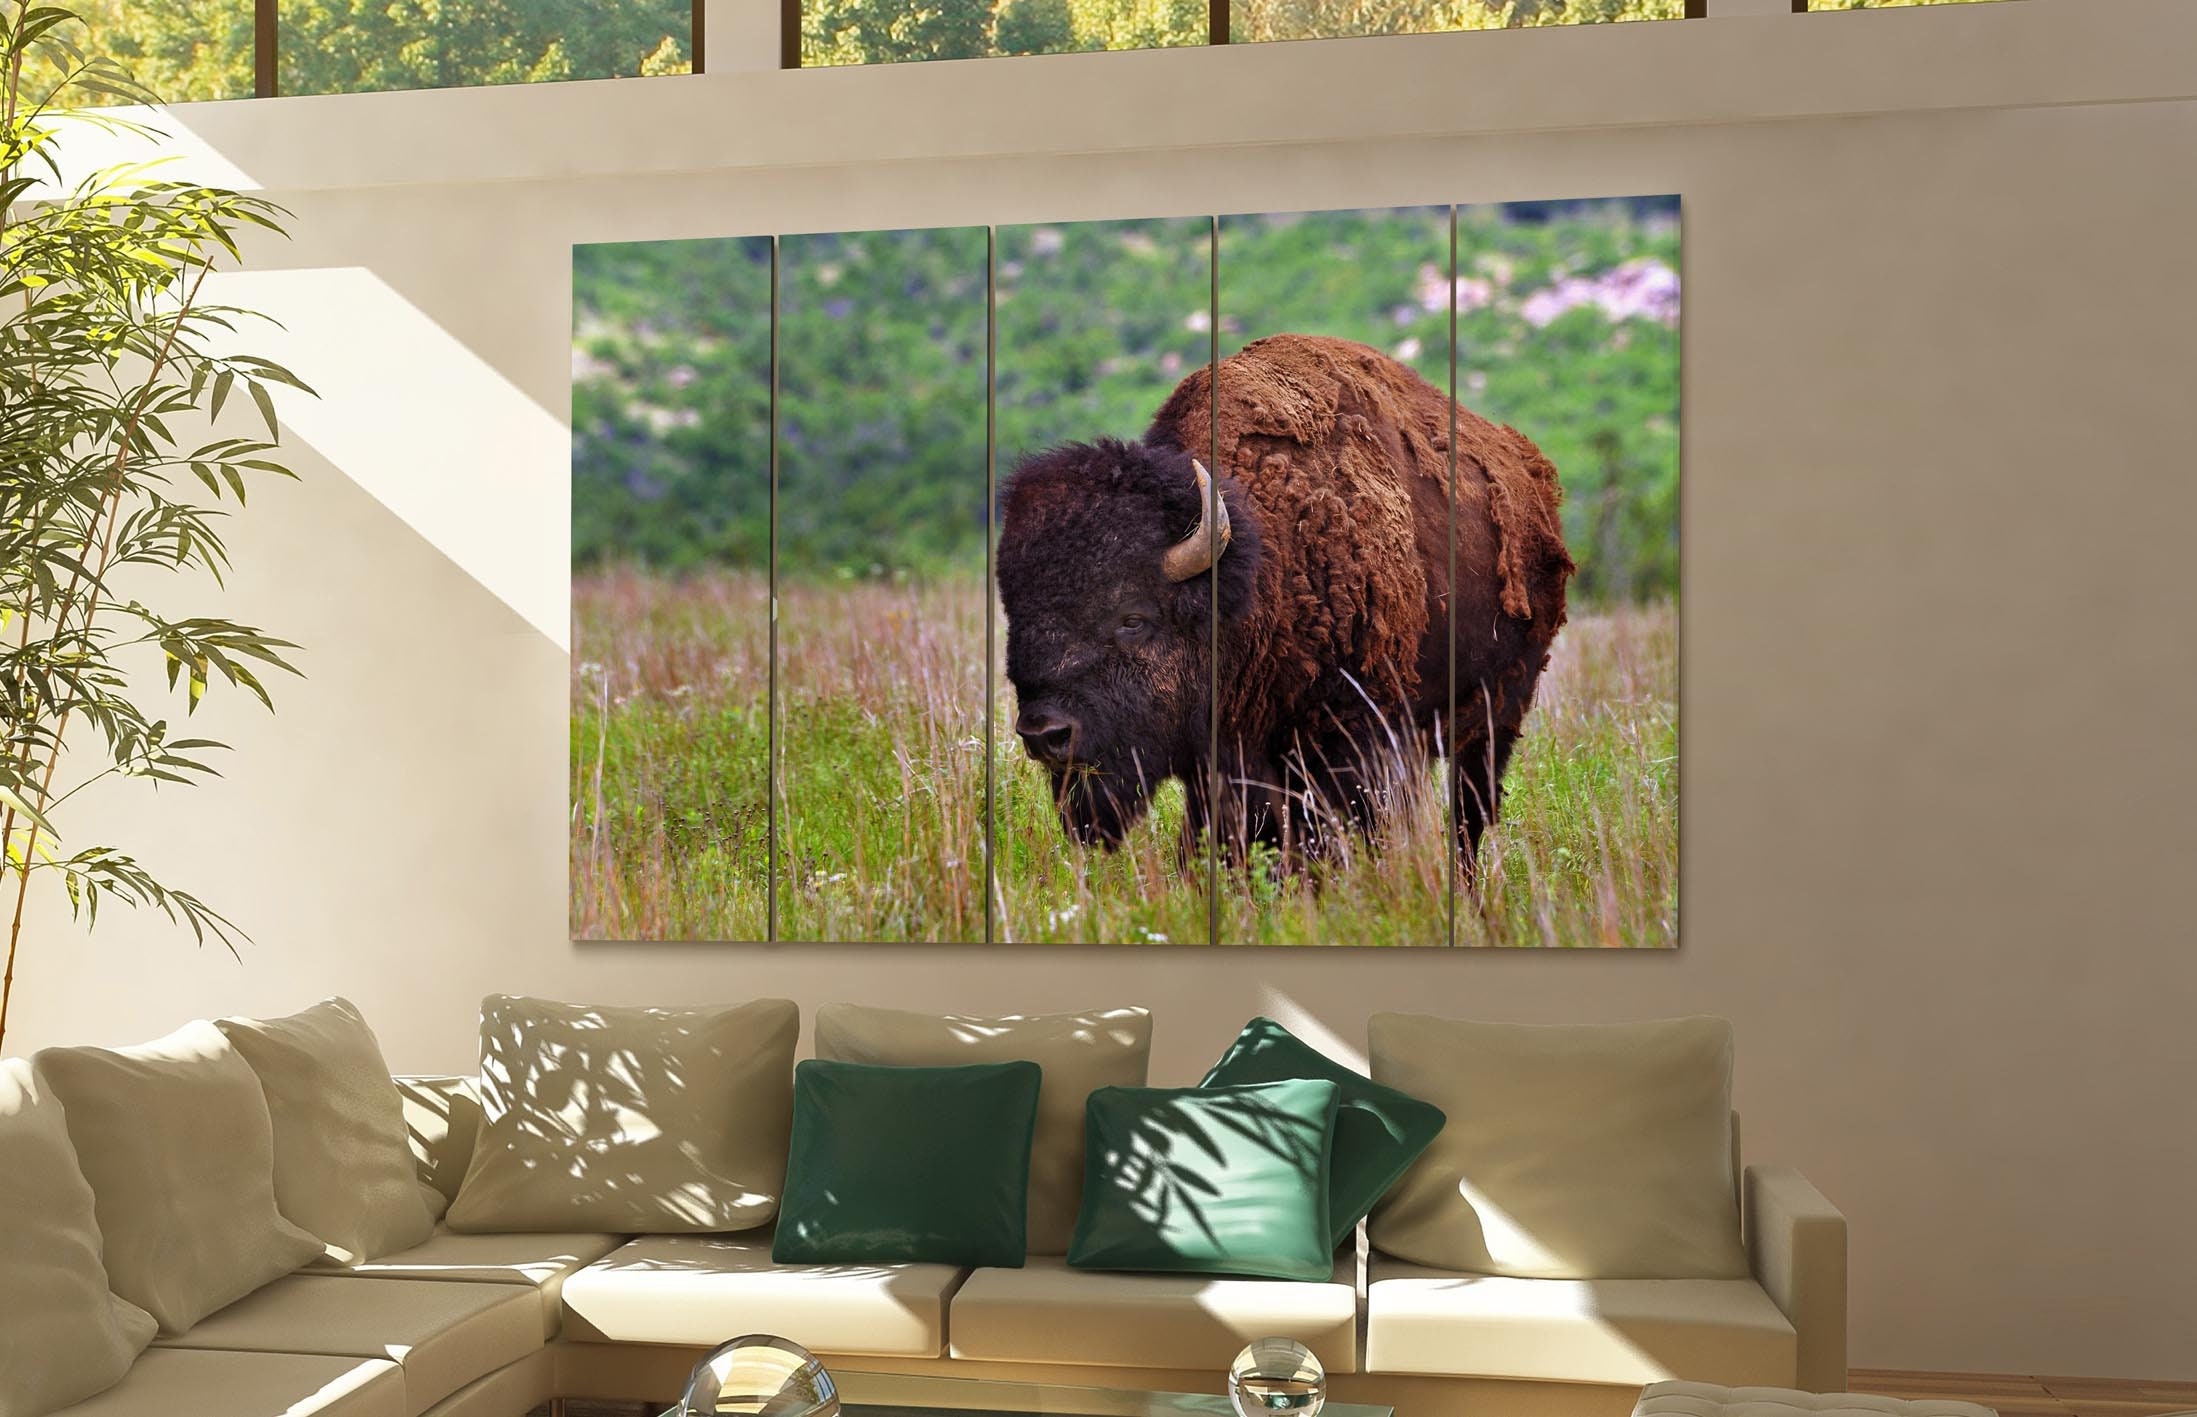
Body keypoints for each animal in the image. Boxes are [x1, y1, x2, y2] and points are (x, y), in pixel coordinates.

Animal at [996, 332, 1573, 878]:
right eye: (1016, 614)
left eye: (1133, 618)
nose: (1045, 734)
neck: (1260, 570)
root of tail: (1532, 476)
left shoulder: (1348, 740)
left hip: (1496, 714)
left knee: (1468, 816)